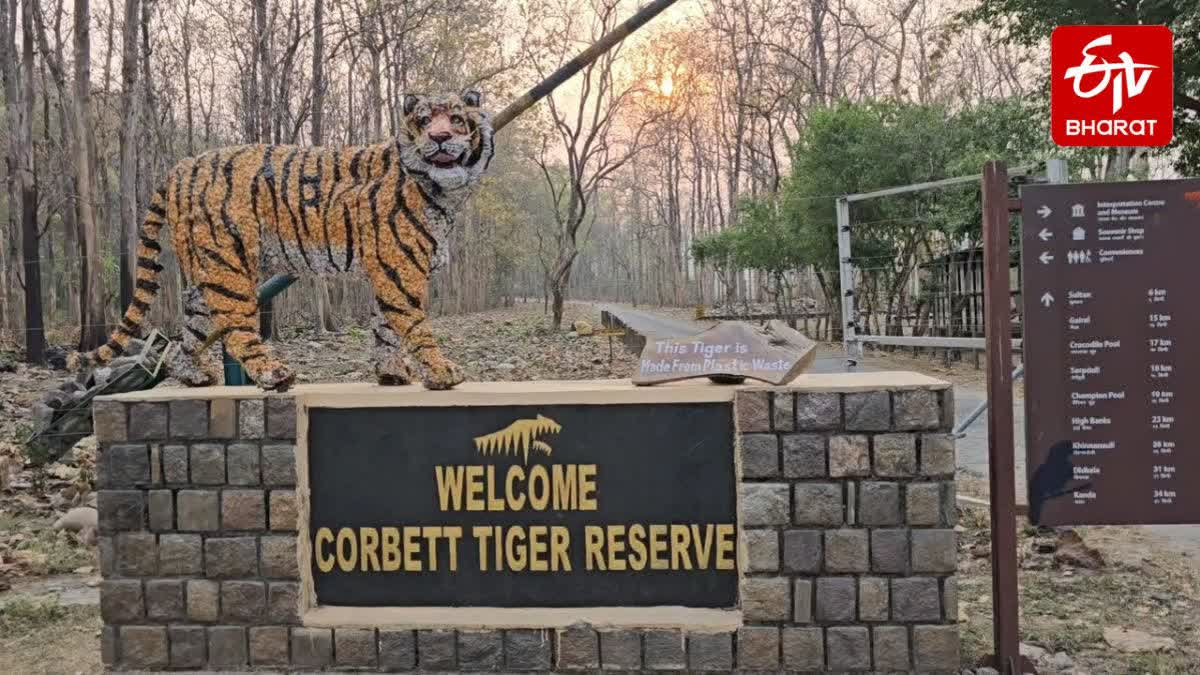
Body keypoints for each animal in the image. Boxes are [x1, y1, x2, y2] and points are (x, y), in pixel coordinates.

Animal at [69, 90, 495, 391]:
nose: (439, 137)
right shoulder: (399, 269)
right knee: (237, 329)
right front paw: (442, 372)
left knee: (186, 336)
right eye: (423, 121)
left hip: (203, 274)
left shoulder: (387, 268)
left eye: (456, 119)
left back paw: (193, 375)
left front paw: (391, 373)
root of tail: (180, 166)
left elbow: (384, 328)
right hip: (228, 267)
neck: (445, 192)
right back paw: (275, 374)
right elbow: (414, 325)